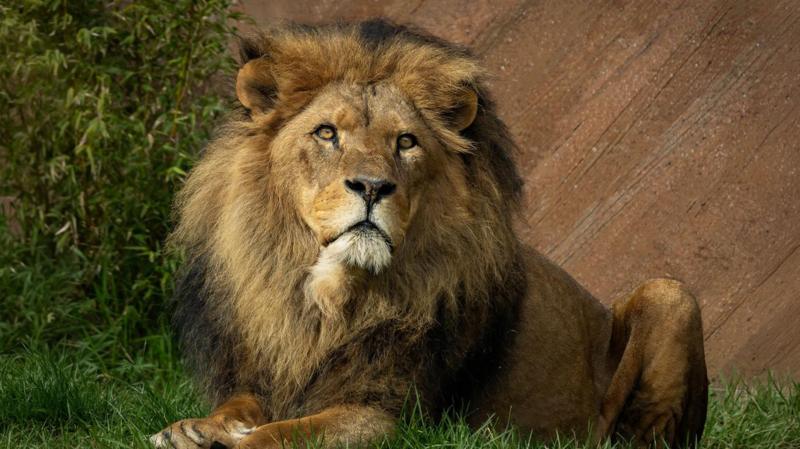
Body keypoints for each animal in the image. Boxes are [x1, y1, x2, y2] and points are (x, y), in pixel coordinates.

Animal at [151, 20, 708, 449]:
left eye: (406, 141)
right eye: (327, 133)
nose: (373, 186)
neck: (325, 300)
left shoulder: (389, 415)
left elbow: (286, 432)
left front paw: (230, 441)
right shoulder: (260, 374)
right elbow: (238, 406)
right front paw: (192, 429)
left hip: (670, 296)